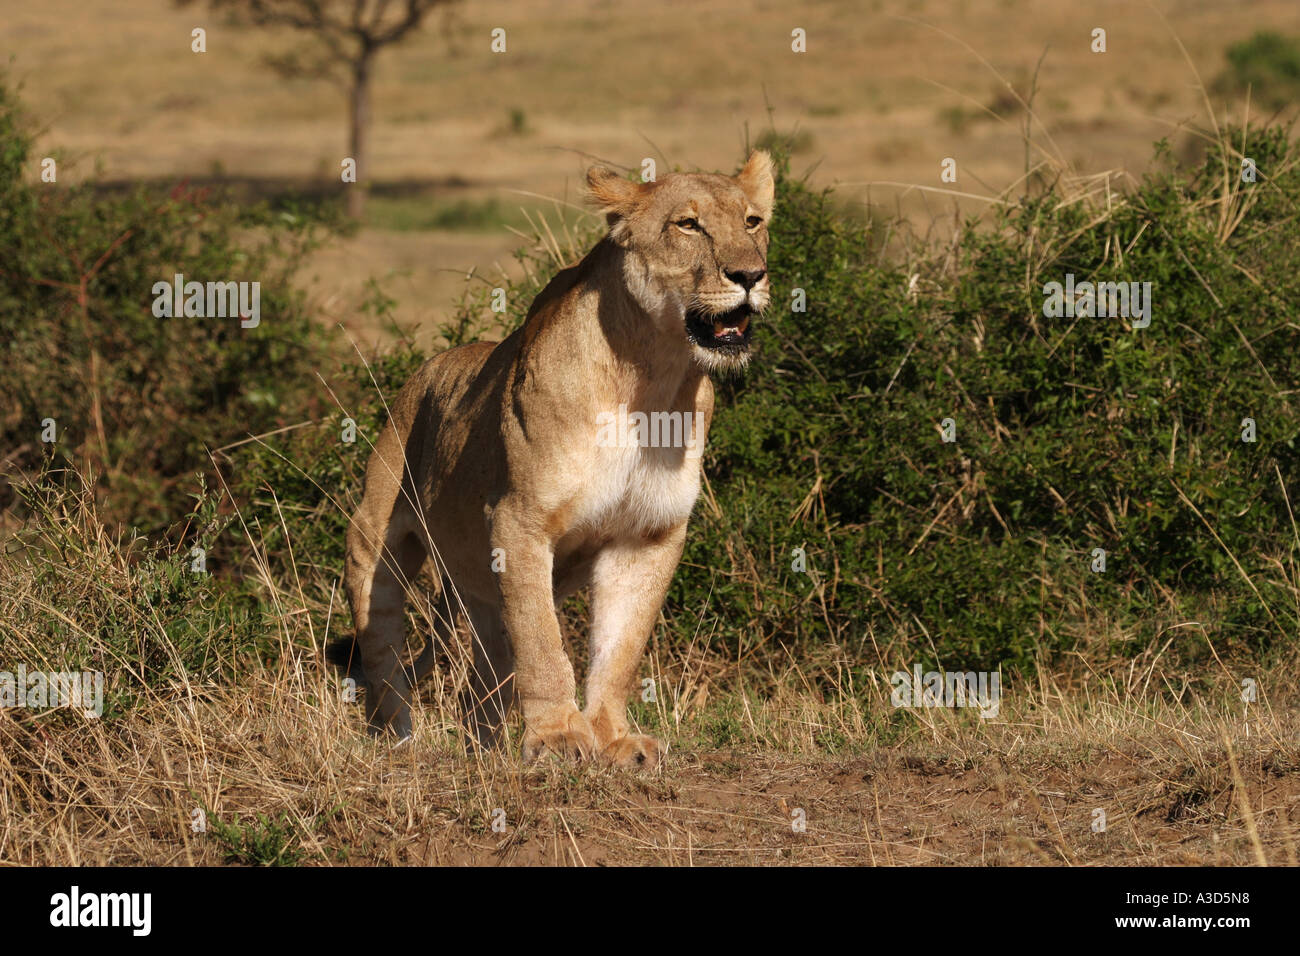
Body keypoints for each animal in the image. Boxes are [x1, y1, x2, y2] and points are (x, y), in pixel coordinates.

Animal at [337, 151, 774, 768]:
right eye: (688, 225)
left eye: (753, 221)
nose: (750, 276)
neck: (653, 378)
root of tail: (425, 371)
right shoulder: (520, 521)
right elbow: (542, 642)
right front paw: (558, 739)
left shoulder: (649, 534)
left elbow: (620, 649)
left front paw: (614, 740)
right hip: (374, 543)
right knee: (383, 661)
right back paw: (398, 743)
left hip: (478, 586)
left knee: (481, 680)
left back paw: (484, 751)